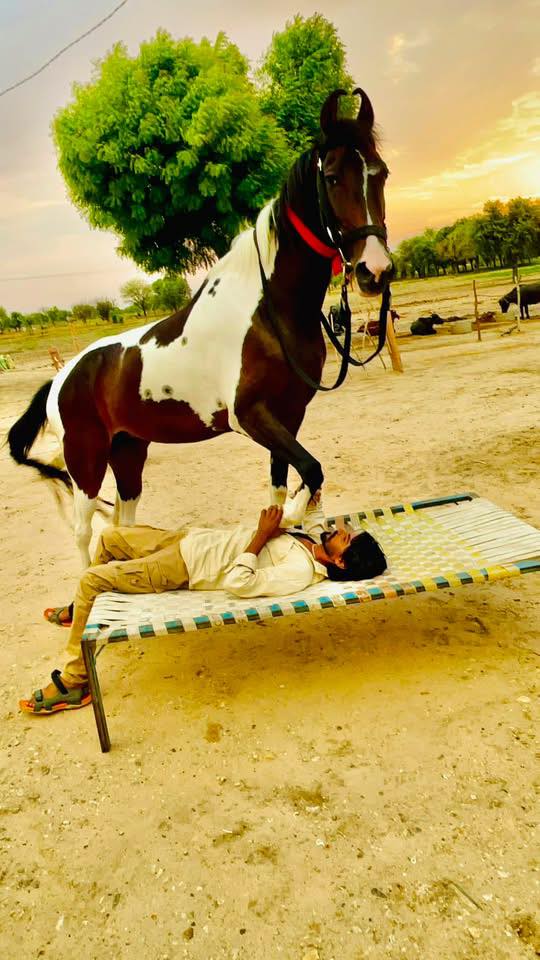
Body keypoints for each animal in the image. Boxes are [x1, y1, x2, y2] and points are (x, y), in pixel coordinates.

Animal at [8, 88, 393, 568]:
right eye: (335, 177)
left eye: (381, 173)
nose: (374, 271)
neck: (267, 313)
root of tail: (61, 378)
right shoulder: (251, 416)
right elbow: (311, 470)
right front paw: (297, 516)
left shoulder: (289, 416)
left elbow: (284, 484)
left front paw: (289, 521)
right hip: (86, 460)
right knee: (84, 533)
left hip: (128, 452)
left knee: (122, 521)